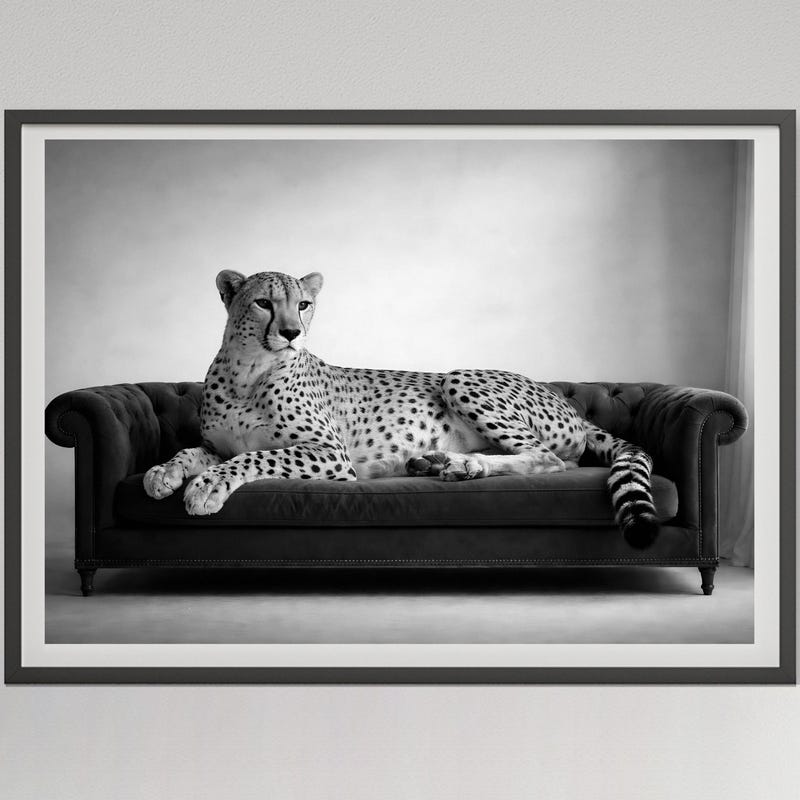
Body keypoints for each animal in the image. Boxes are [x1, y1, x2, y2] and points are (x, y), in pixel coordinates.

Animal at [143, 270, 660, 548]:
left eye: (304, 304)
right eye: (264, 303)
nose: (291, 333)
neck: (249, 370)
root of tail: (568, 402)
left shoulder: (332, 455)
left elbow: (256, 456)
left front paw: (207, 486)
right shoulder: (218, 443)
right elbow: (195, 451)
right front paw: (165, 472)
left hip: (458, 377)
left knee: (551, 460)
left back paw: (459, 464)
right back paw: (445, 464)